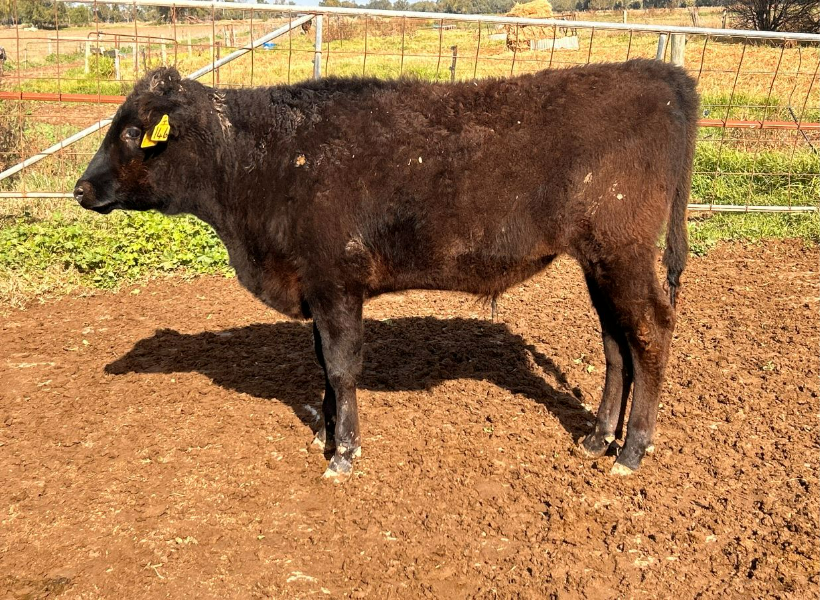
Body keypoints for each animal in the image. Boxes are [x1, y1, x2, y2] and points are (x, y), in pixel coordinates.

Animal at [74, 60, 698, 480]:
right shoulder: (316, 293)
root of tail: (659, 74)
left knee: (651, 333)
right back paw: (597, 439)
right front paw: (325, 434)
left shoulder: (336, 284)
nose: (80, 188)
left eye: (132, 131)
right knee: (617, 344)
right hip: (600, 262)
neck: (265, 158)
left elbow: (342, 367)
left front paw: (344, 454)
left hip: (624, 255)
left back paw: (633, 450)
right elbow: (323, 367)